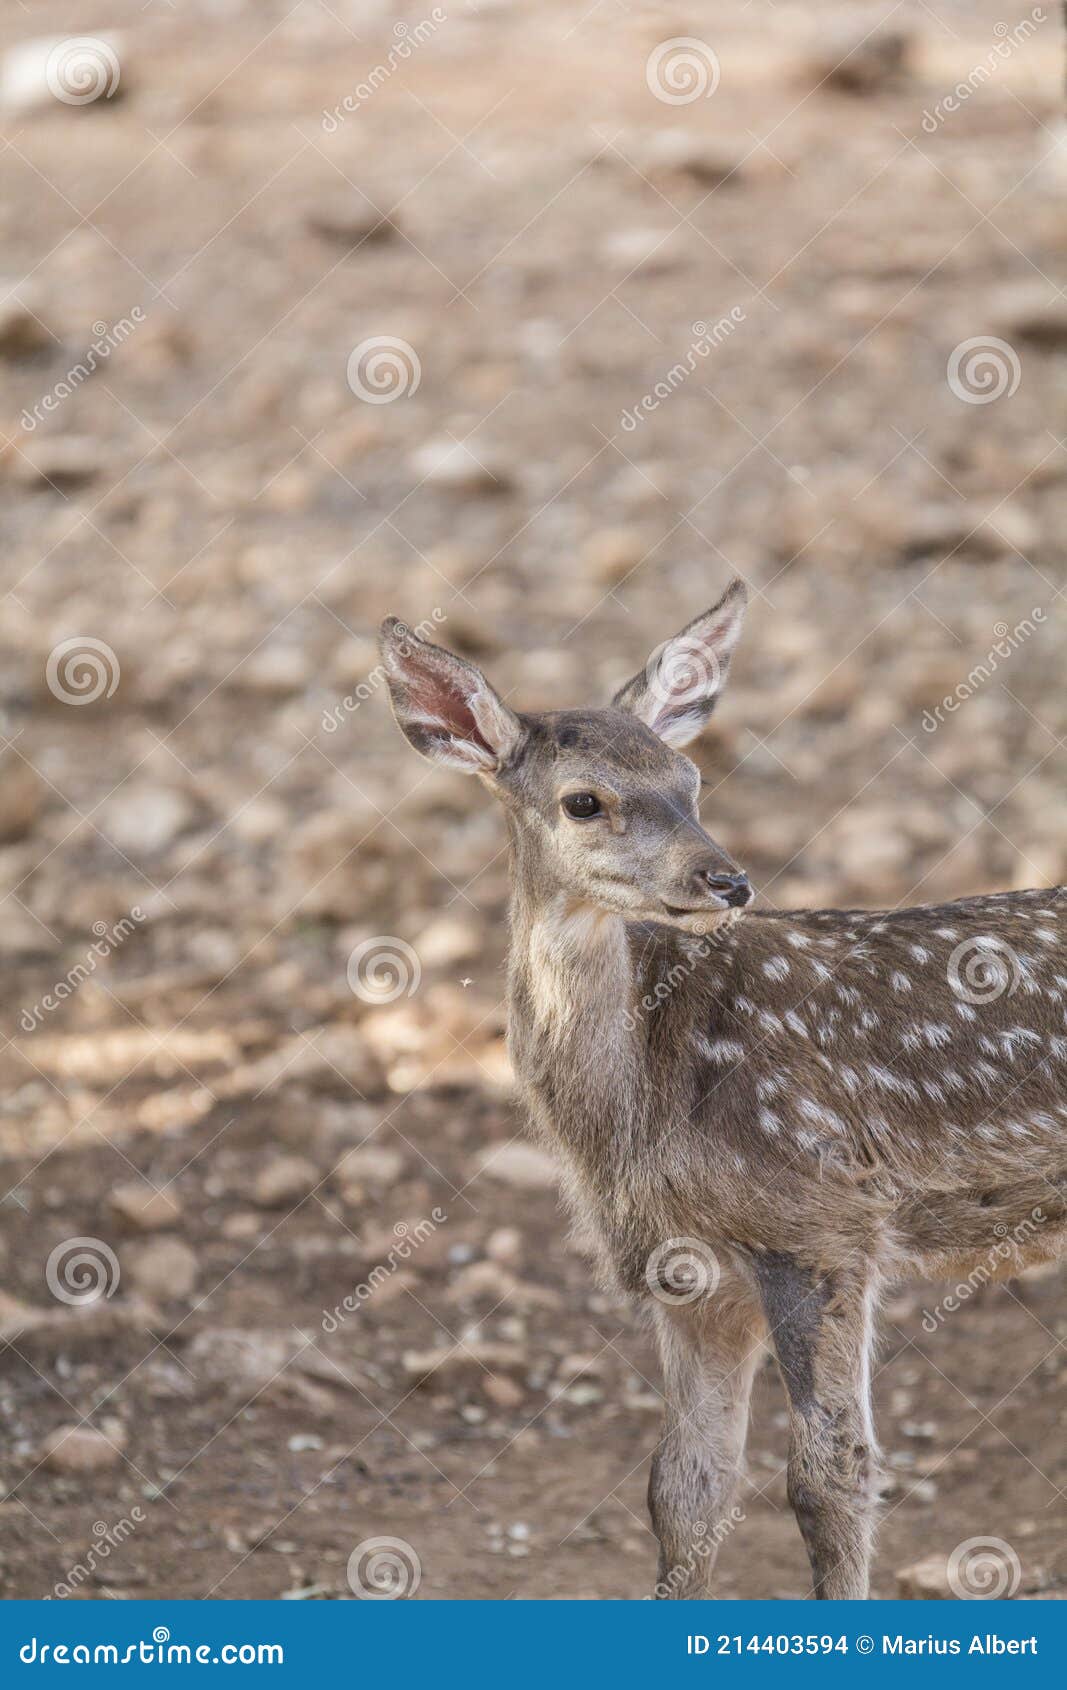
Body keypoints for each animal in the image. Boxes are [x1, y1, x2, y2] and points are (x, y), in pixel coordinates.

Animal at [379, 581, 1067, 1600]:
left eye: (692, 782)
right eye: (584, 801)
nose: (726, 880)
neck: (636, 1116)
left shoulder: (822, 1221)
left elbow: (829, 1478)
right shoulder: (690, 1274)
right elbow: (685, 1489)